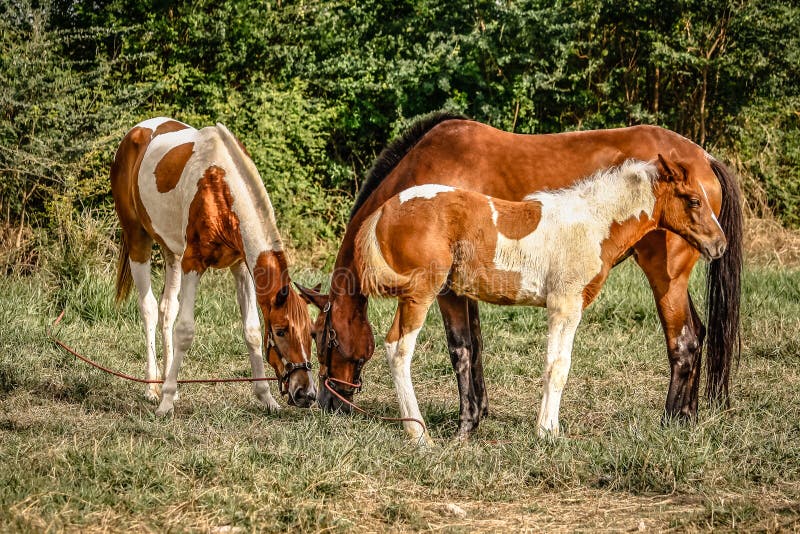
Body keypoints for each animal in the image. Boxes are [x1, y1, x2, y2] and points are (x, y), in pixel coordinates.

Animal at [111, 117, 316, 415]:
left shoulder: (240, 267)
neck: (221, 187)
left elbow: (252, 331)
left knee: (167, 309)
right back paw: (153, 388)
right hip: (138, 239)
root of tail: (135, 132)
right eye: (281, 331)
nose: (306, 393)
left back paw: (168, 382)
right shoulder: (193, 263)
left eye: (311, 331)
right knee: (148, 307)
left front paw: (266, 398)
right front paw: (166, 403)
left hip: (171, 251)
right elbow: (186, 330)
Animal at [297, 114, 742, 439]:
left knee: (684, 340)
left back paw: (673, 421)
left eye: (324, 336)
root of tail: (705, 157)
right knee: (695, 335)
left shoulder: (459, 294)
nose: (329, 405)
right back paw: (686, 417)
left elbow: (470, 350)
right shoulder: (477, 290)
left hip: (666, 274)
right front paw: (479, 420)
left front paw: (474, 423)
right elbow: (476, 349)